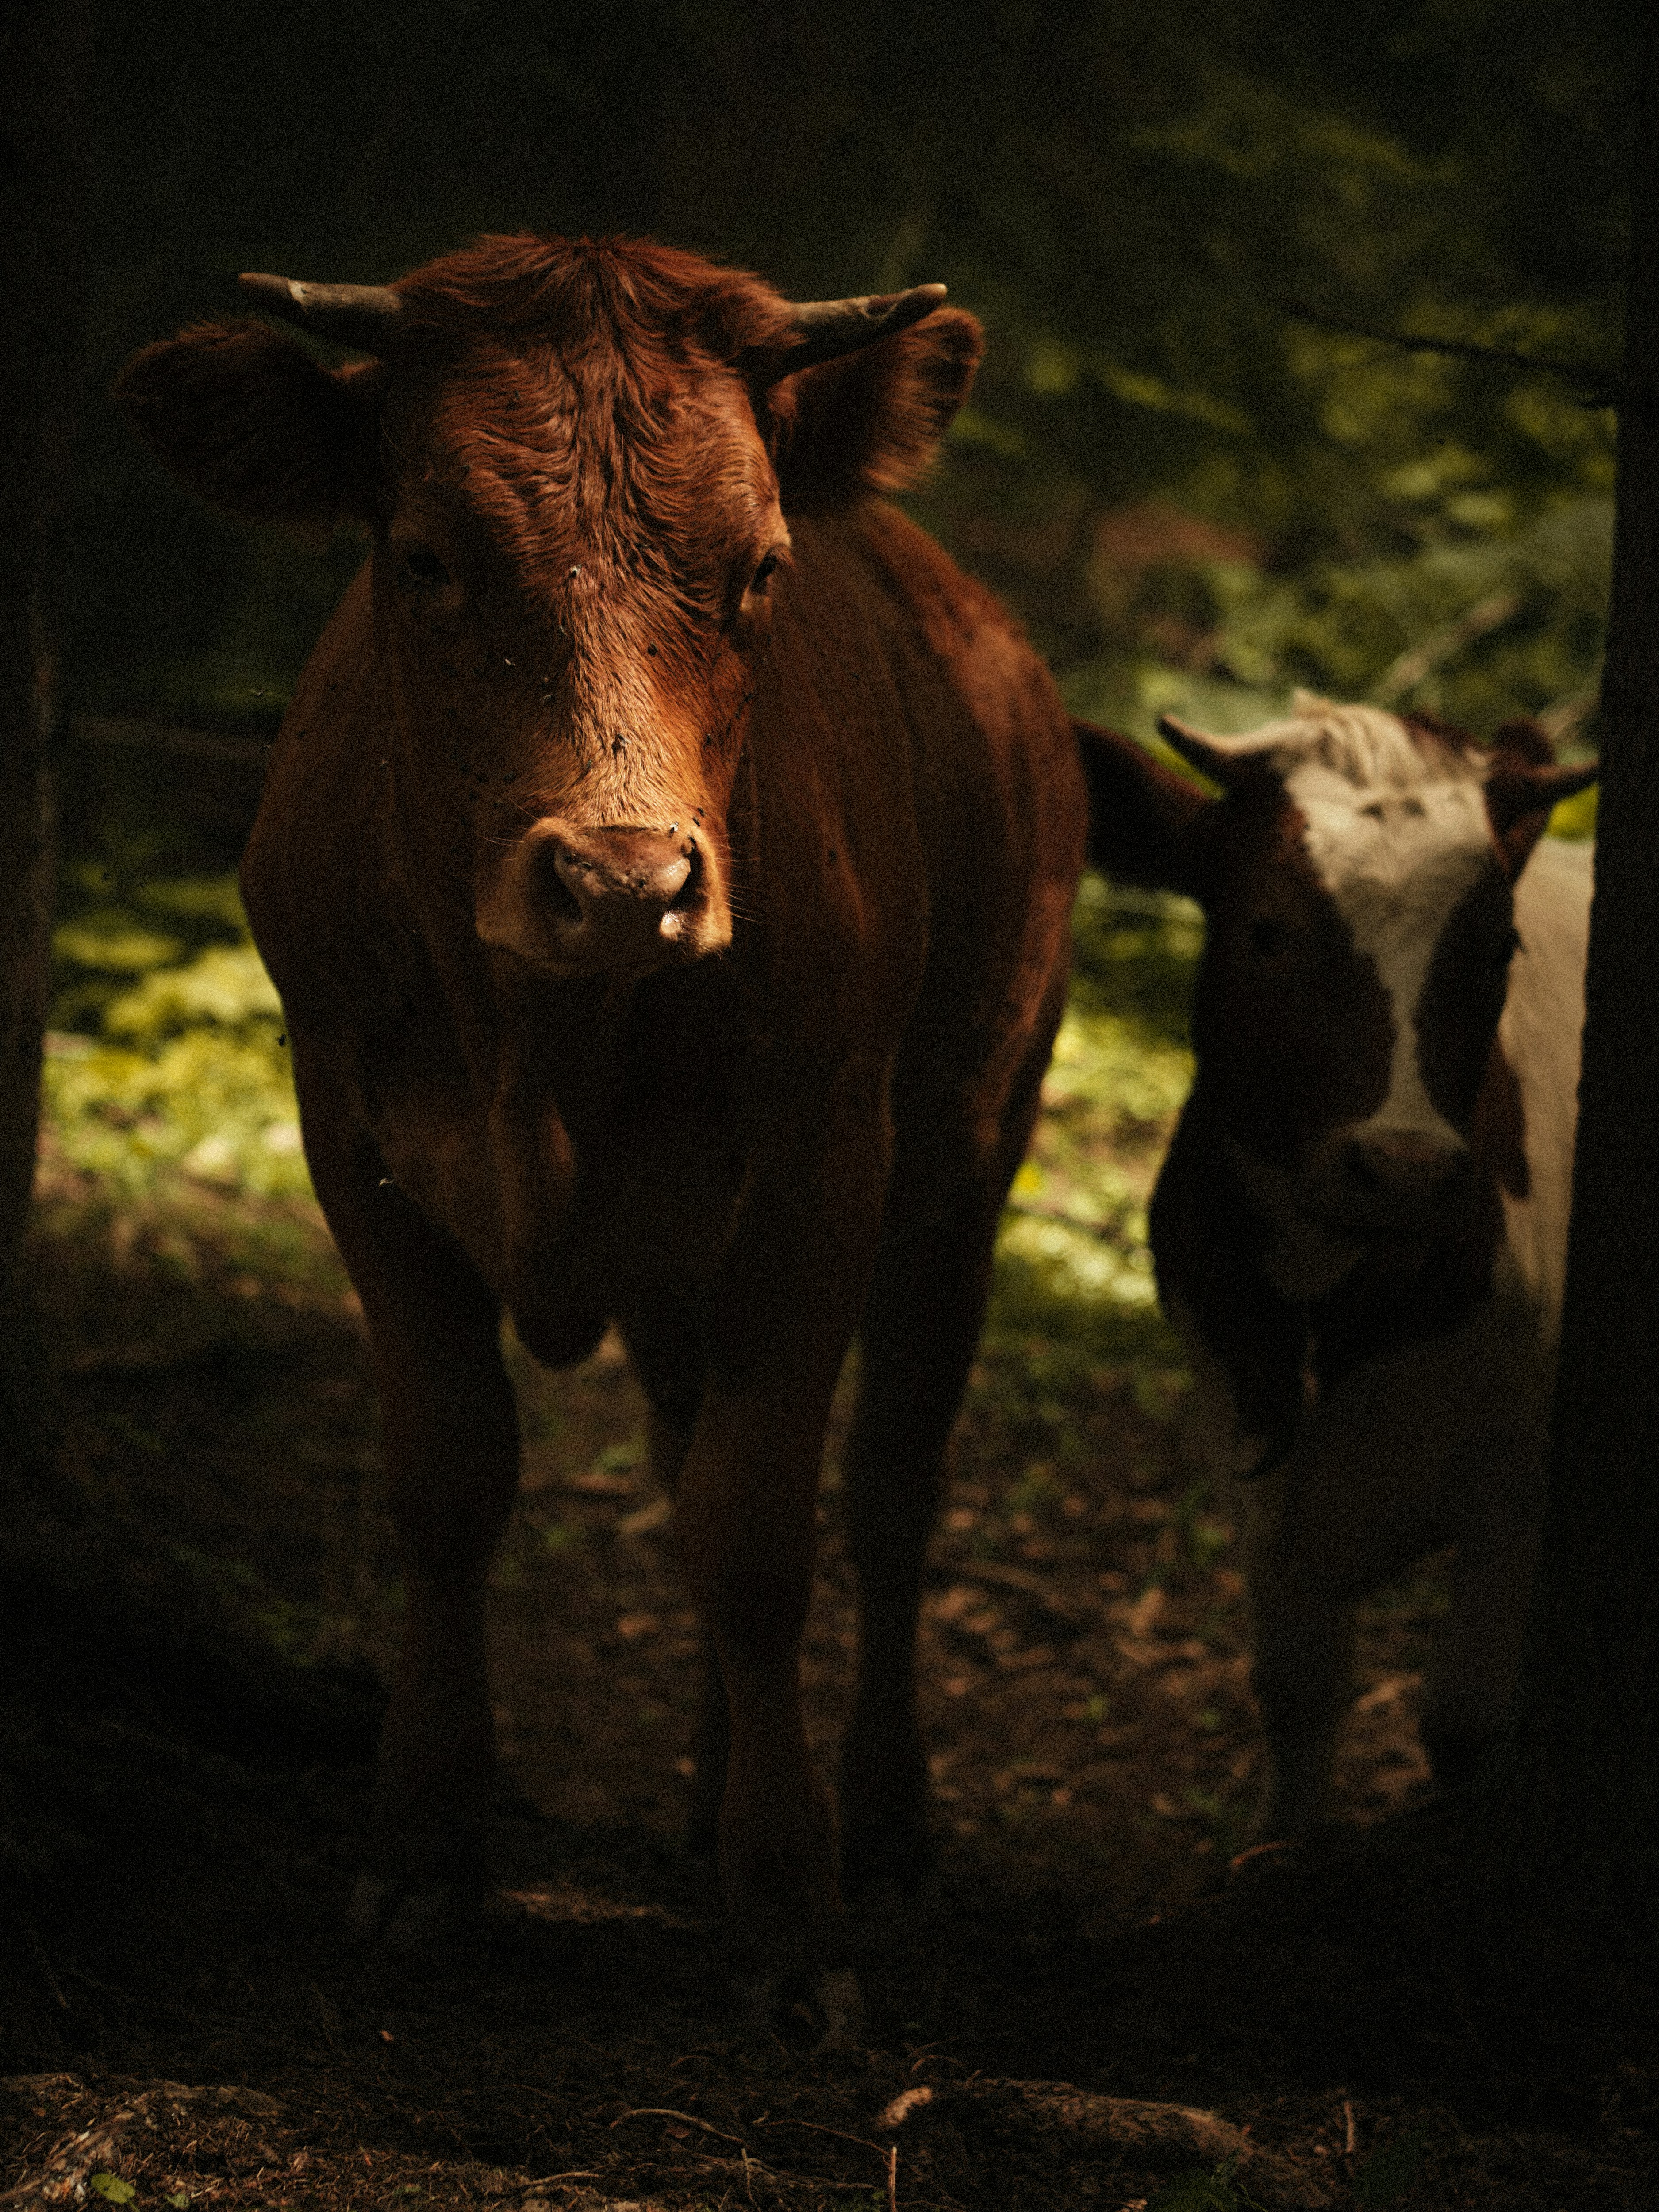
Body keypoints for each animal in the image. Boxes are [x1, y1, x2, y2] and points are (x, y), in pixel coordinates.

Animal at [115, 233, 1086, 2031]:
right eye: (424, 556)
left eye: (760, 568)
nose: (625, 880)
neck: (546, 1049)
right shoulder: (348, 1130)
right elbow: (452, 1479)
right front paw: (426, 1845)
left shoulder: (824, 1157)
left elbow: (759, 1525)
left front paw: (789, 1908)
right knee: (687, 1434)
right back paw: (707, 1795)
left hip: (970, 1148)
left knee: (891, 1480)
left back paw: (880, 1824)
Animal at [1076, 694, 1595, 1842]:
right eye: (1265, 930)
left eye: (1495, 946)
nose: (1403, 1168)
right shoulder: (1256, 1461)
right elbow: (1293, 1695)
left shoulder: (1521, 1489)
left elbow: (1461, 1721)